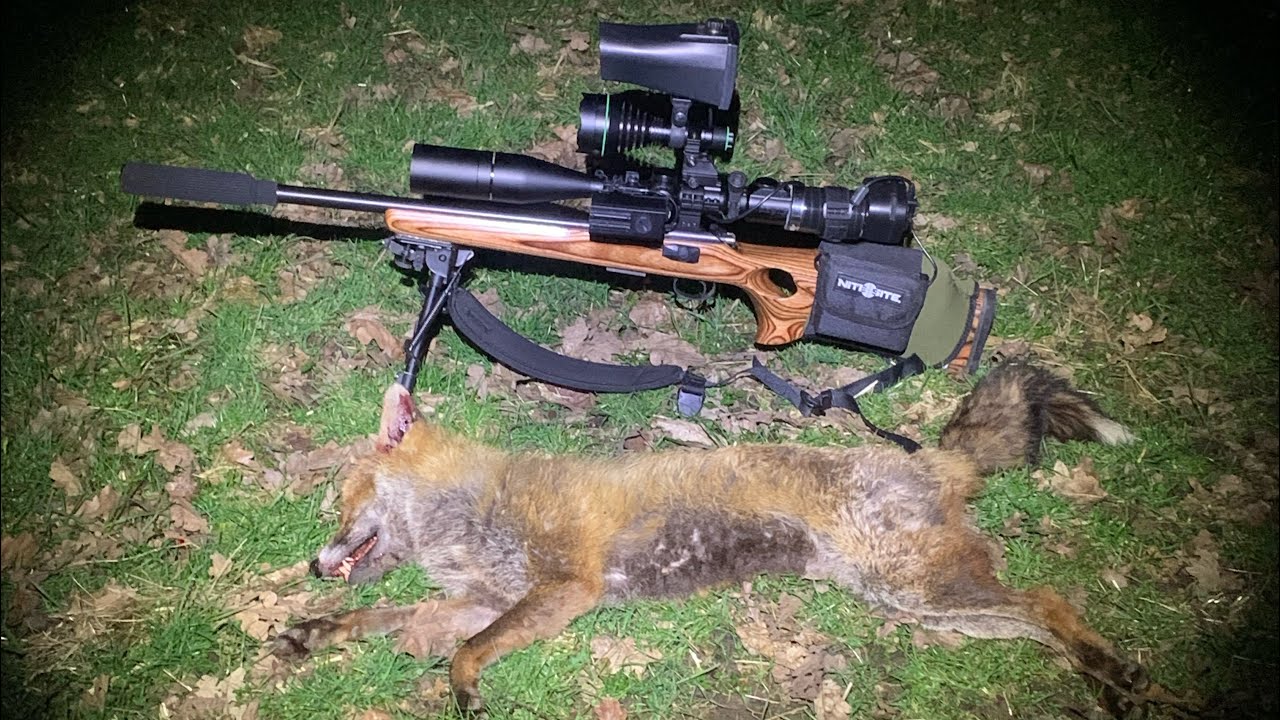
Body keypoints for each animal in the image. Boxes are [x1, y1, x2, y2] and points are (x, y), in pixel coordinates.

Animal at [272, 363, 1160, 715]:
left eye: (341, 501)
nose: (312, 563)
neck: (474, 511)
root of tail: (930, 458)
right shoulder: (484, 600)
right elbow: (388, 622)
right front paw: (314, 631)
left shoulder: (562, 589)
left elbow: (464, 652)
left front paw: (462, 694)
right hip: (927, 603)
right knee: (1036, 618)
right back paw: (1102, 679)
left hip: (918, 587)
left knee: (1051, 597)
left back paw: (1115, 676)